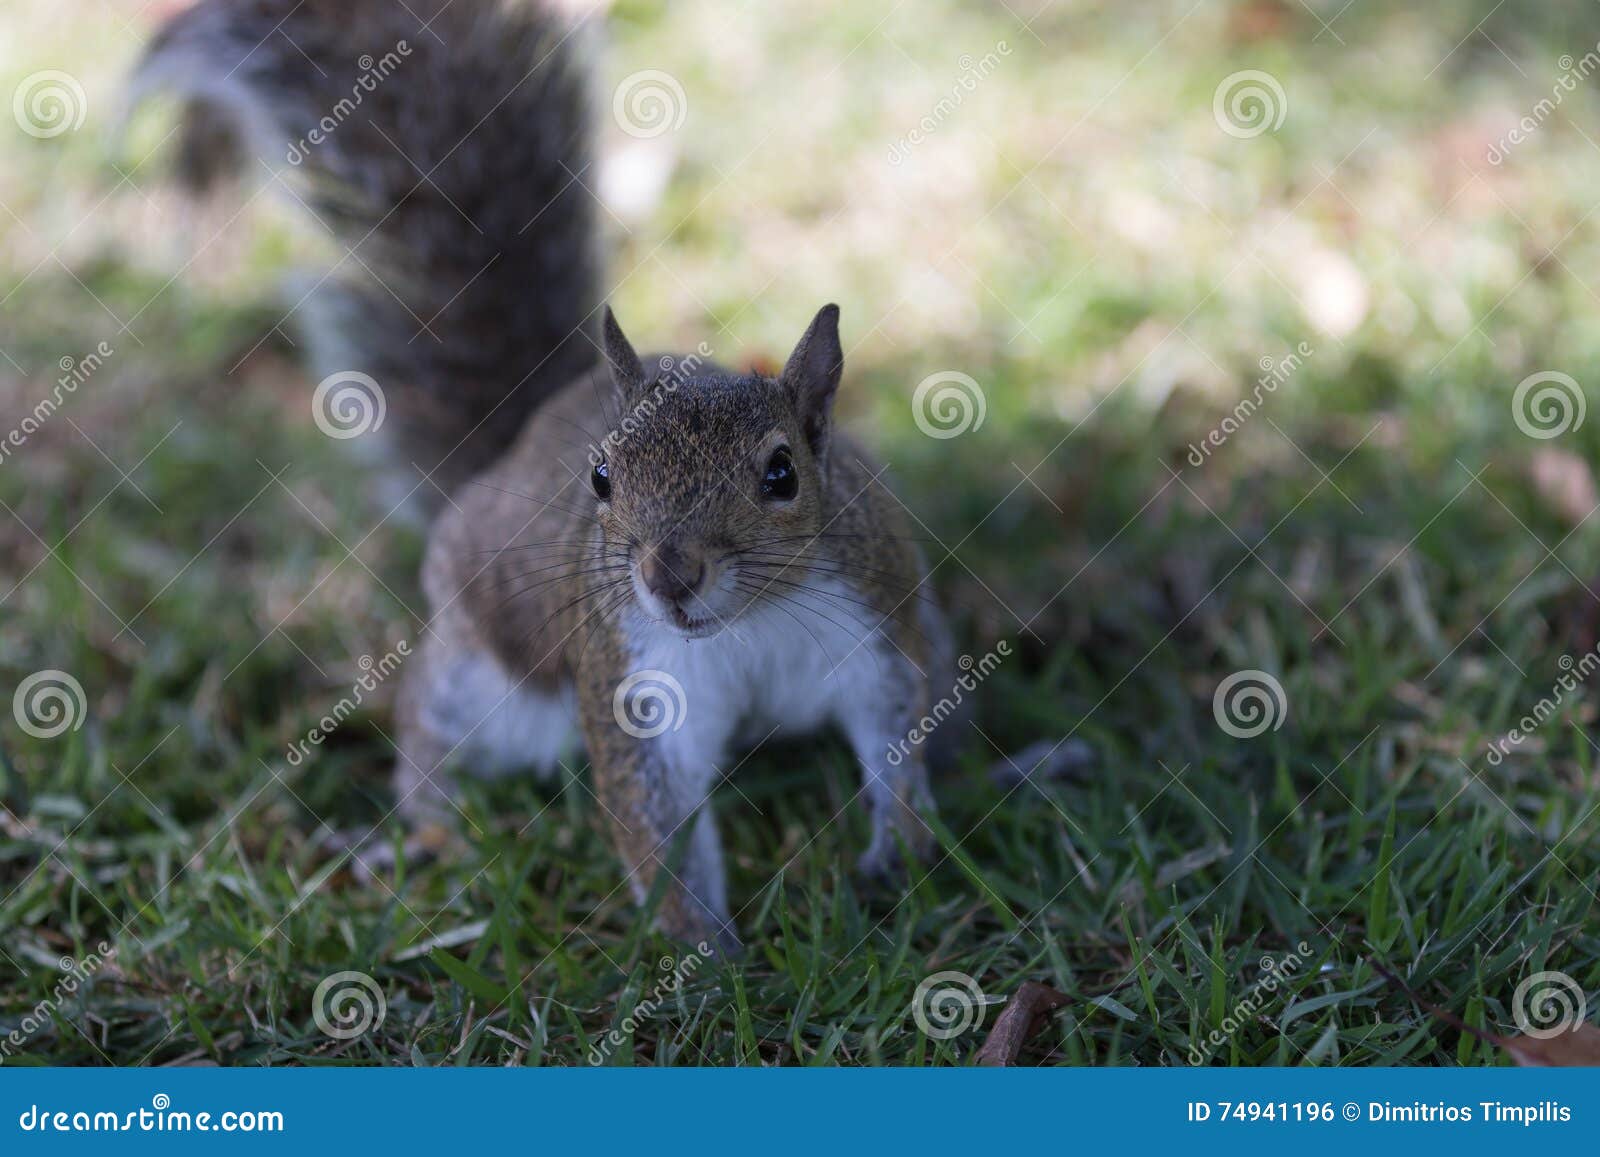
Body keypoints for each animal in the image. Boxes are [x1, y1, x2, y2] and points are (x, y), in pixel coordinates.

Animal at [135, 0, 957, 951]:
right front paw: (705, 954)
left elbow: (897, 729)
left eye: (782, 473)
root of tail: (507, 452)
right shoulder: (634, 679)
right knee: (428, 718)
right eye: (600, 478)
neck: (751, 622)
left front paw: (900, 848)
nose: (669, 575)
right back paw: (431, 826)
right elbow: (655, 817)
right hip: (493, 671)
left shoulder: (875, 622)